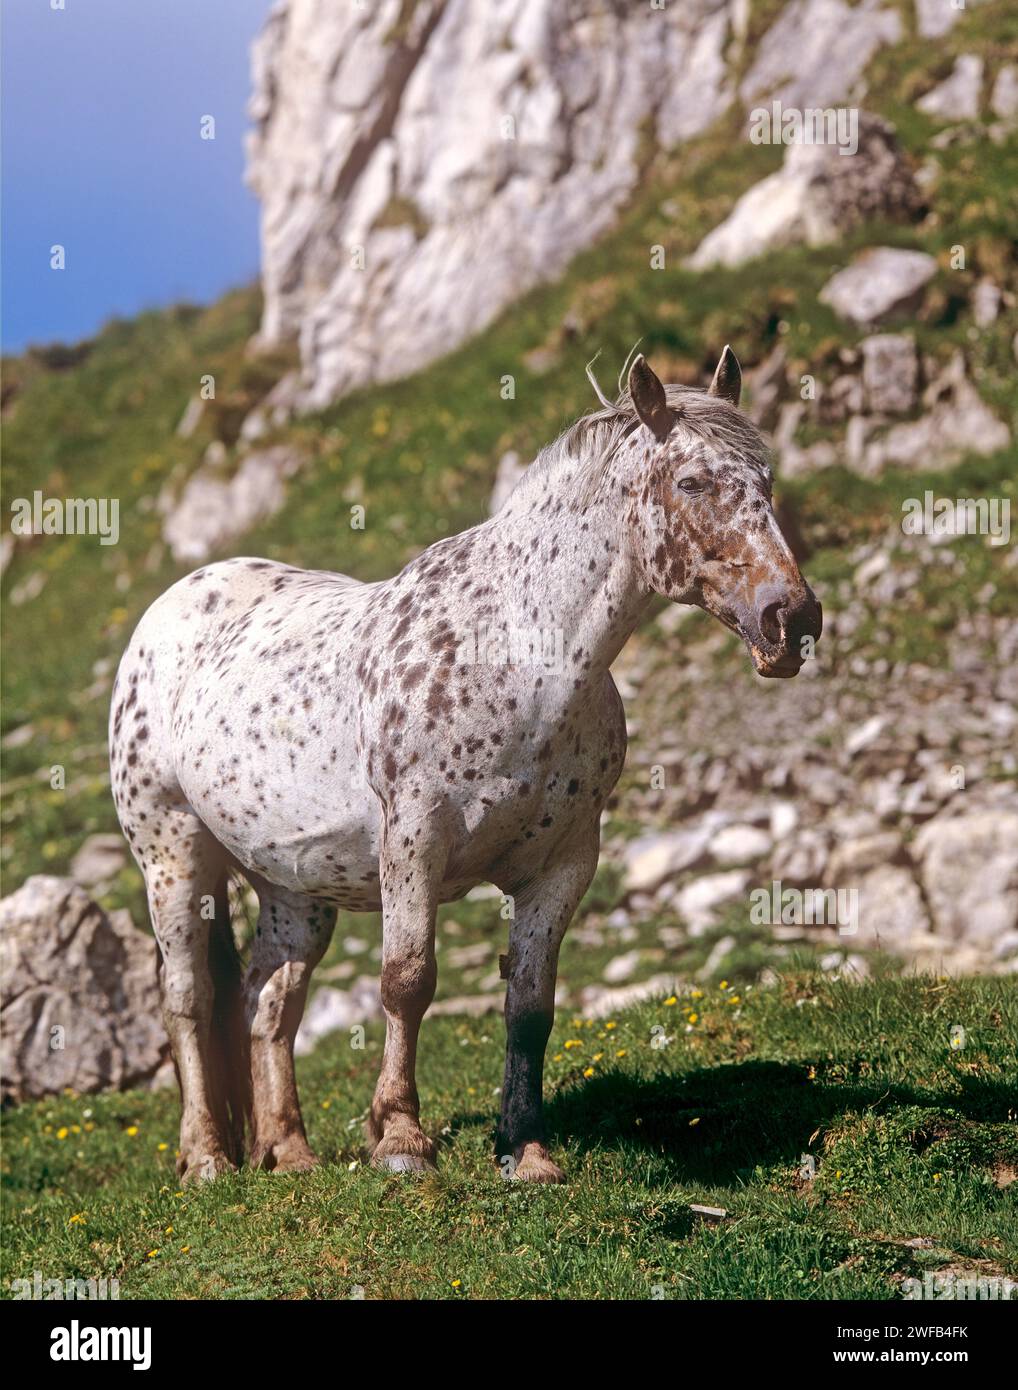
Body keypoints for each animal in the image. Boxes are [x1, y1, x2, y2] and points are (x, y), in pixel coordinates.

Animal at [109, 349, 822, 1184]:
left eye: (767, 481)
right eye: (692, 482)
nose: (793, 620)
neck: (516, 656)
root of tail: (171, 607)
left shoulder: (564, 864)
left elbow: (531, 1005)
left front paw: (526, 1150)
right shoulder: (414, 841)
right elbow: (407, 982)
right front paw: (401, 1139)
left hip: (294, 888)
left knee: (269, 1001)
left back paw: (290, 1152)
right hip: (173, 858)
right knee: (188, 998)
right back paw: (207, 1159)